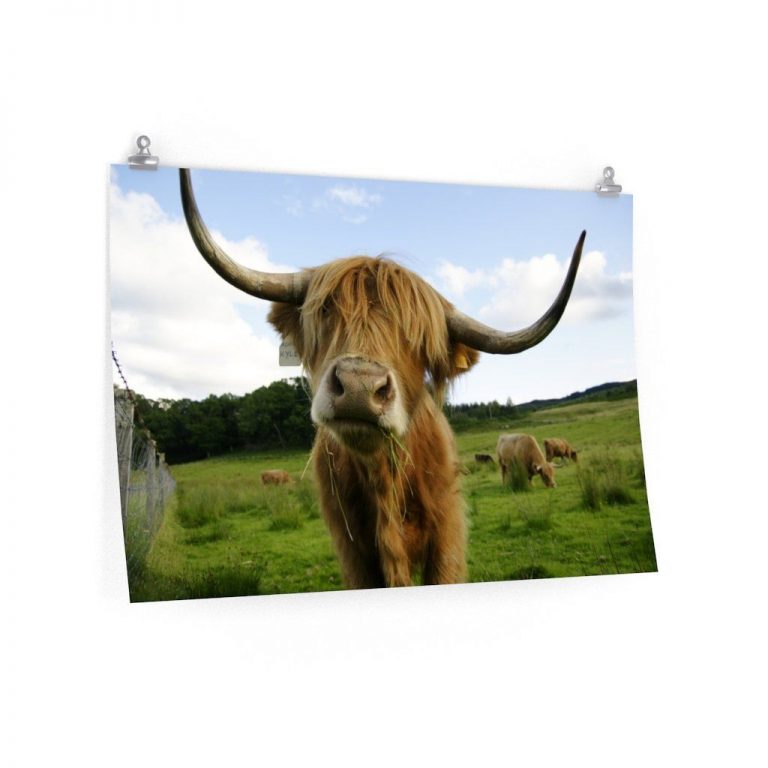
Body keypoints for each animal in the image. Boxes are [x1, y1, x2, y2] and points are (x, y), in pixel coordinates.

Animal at [180, 169, 584, 588]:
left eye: (420, 339)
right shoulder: (353, 552)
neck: (384, 482)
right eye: (325, 311)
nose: (359, 387)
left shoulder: (447, 538)